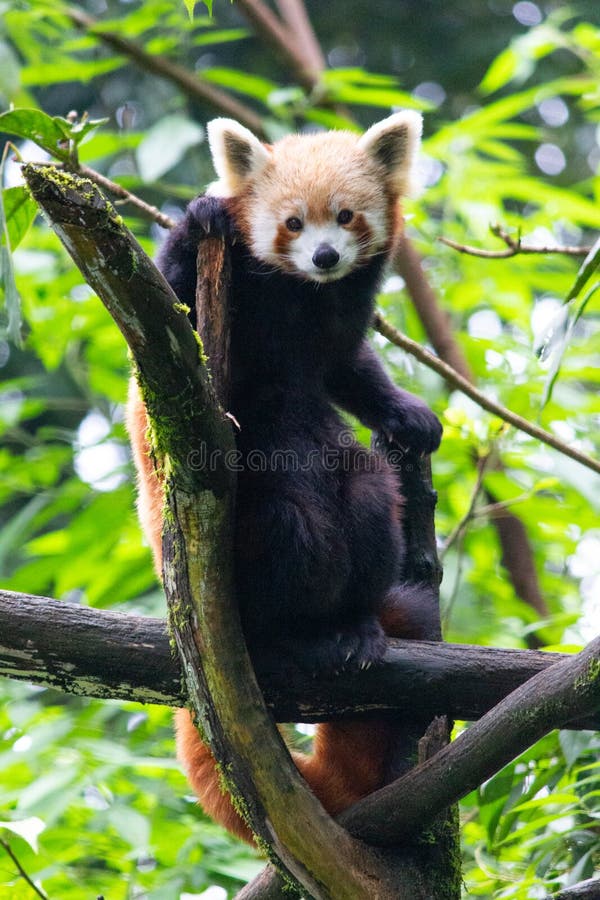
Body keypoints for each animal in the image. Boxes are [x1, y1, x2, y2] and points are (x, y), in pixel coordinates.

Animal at [126, 112, 440, 844]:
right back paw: (292, 632)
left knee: (367, 493)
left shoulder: (338, 322)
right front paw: (200, 218)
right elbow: (167, 317)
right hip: (236, 531)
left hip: (352, 486)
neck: (301, 297)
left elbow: (348, 368)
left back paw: (354, 627)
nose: (324, 258)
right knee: (284, 519)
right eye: (293, 223)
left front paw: (406, 412)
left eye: (345, 217)